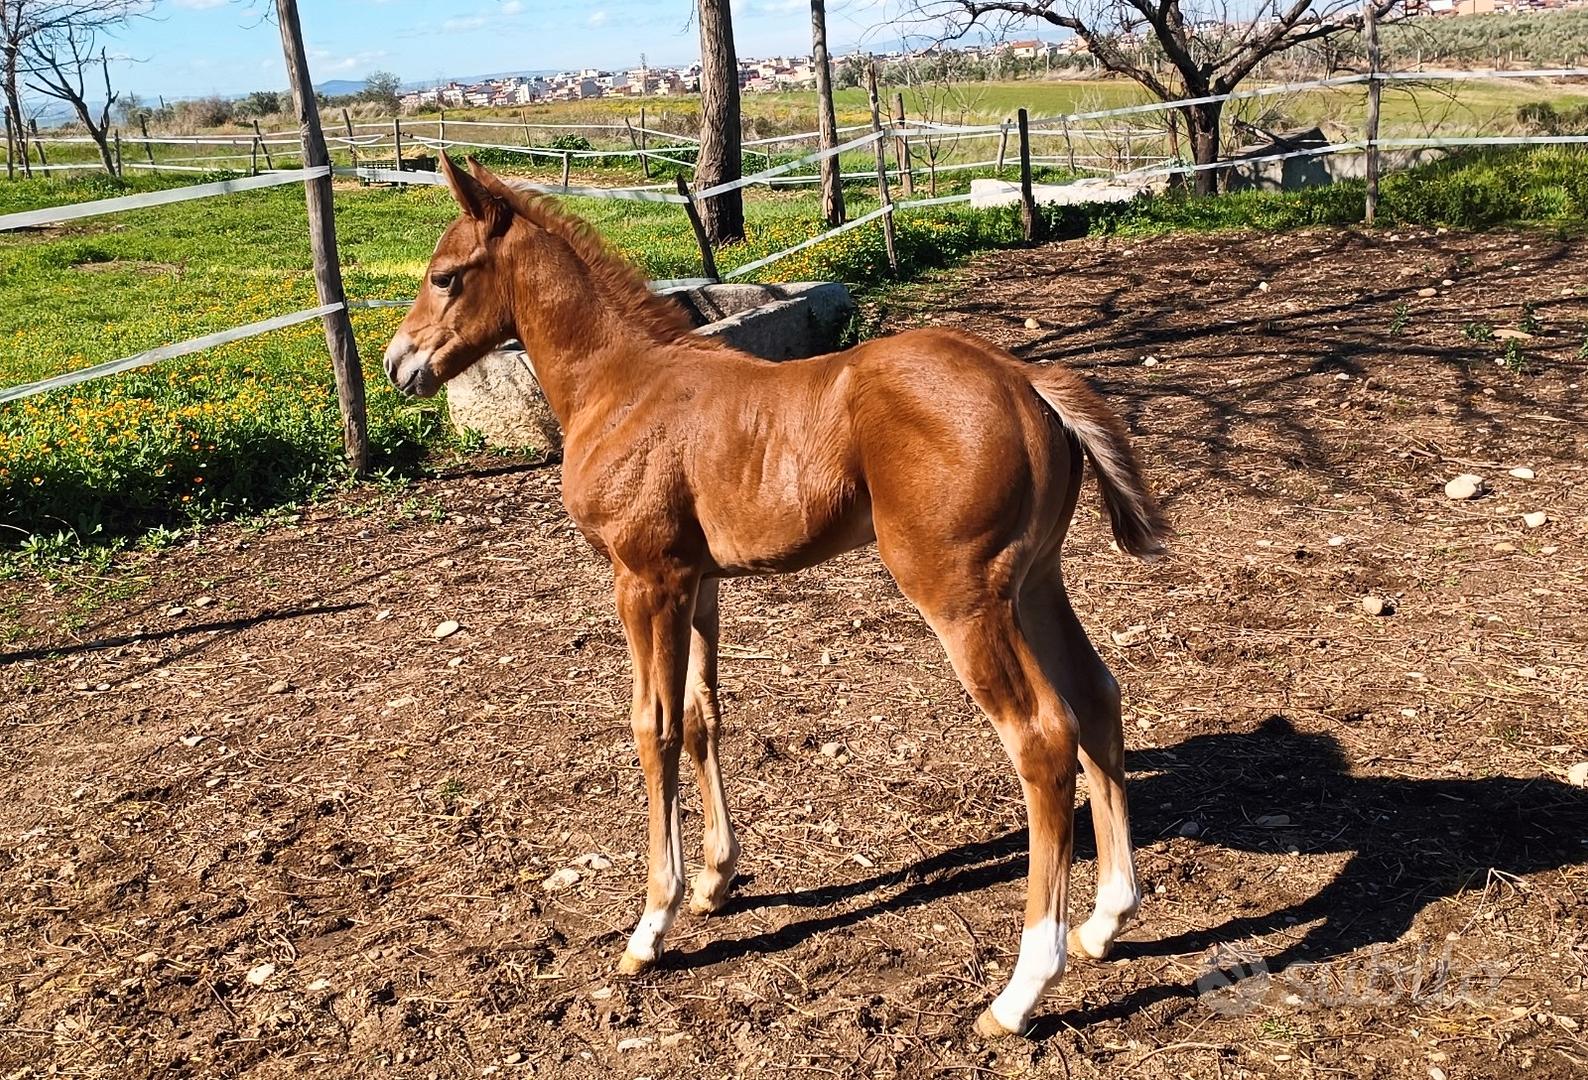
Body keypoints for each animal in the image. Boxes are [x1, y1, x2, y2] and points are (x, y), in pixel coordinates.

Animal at [382, 154, 1171, 1037]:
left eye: (444, 276)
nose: (397, 364)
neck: (621, 387)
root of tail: (1023, 375)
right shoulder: (698, 584)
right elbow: (702, 717)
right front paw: (714, 882)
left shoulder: (643, 580)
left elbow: (652, 728)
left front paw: (650, 926)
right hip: (1035, 581)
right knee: (1097, 698)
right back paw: (1105, 921)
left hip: (963, 597)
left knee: (1041, 736)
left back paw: (1022, 989)